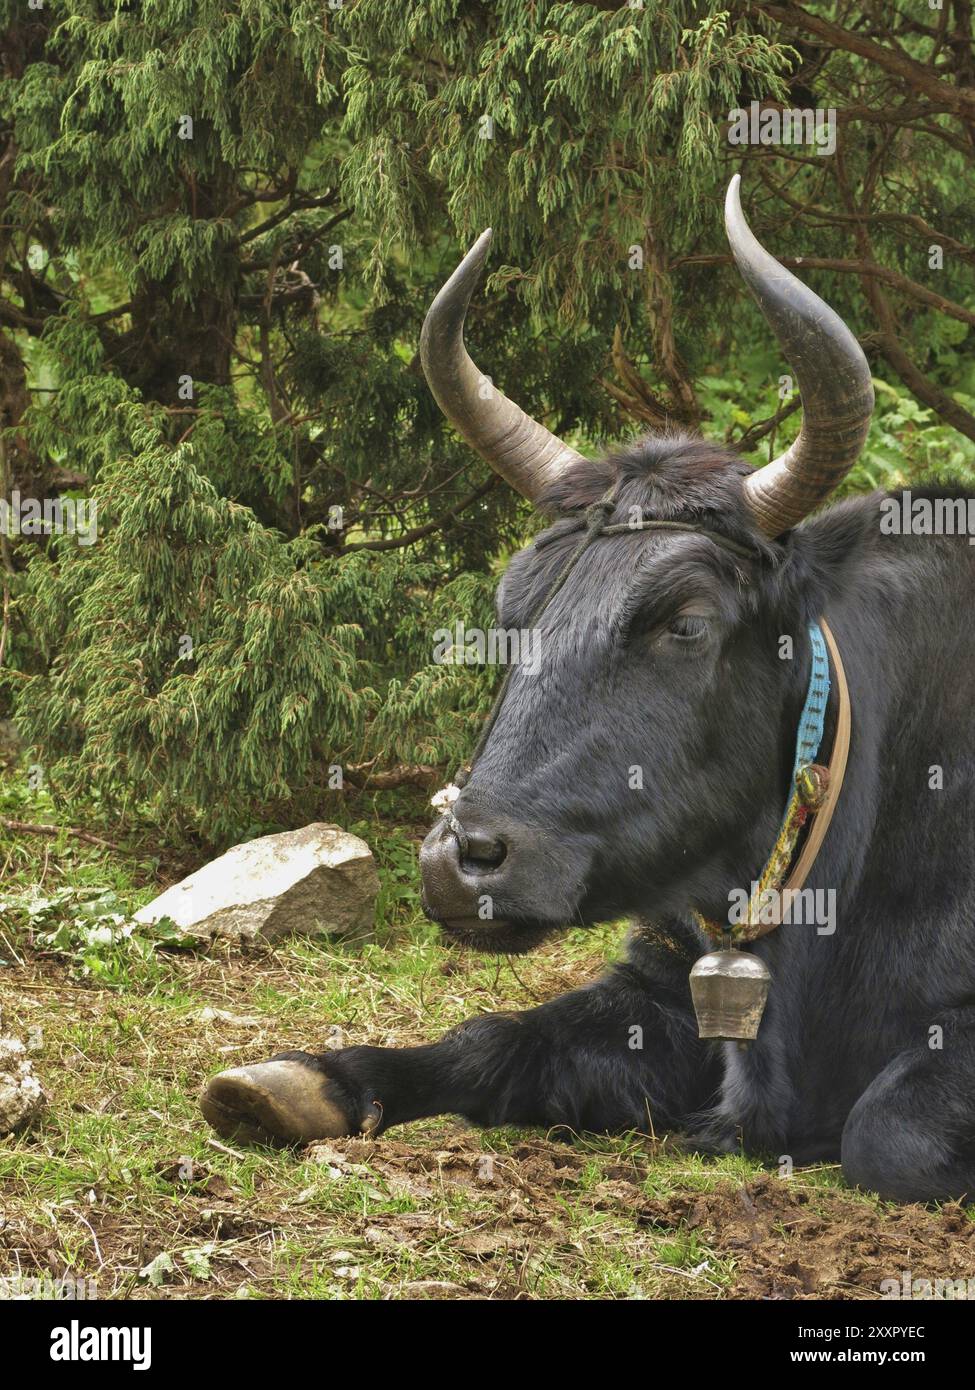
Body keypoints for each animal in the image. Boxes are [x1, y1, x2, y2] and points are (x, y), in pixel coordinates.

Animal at [201, 177, 975, 1204]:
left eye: (685, 621)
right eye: (511, 603)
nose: (460, 861)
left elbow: (889, 1131)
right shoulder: (658, 987)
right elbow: (497, 1039)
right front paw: (307, 1080)